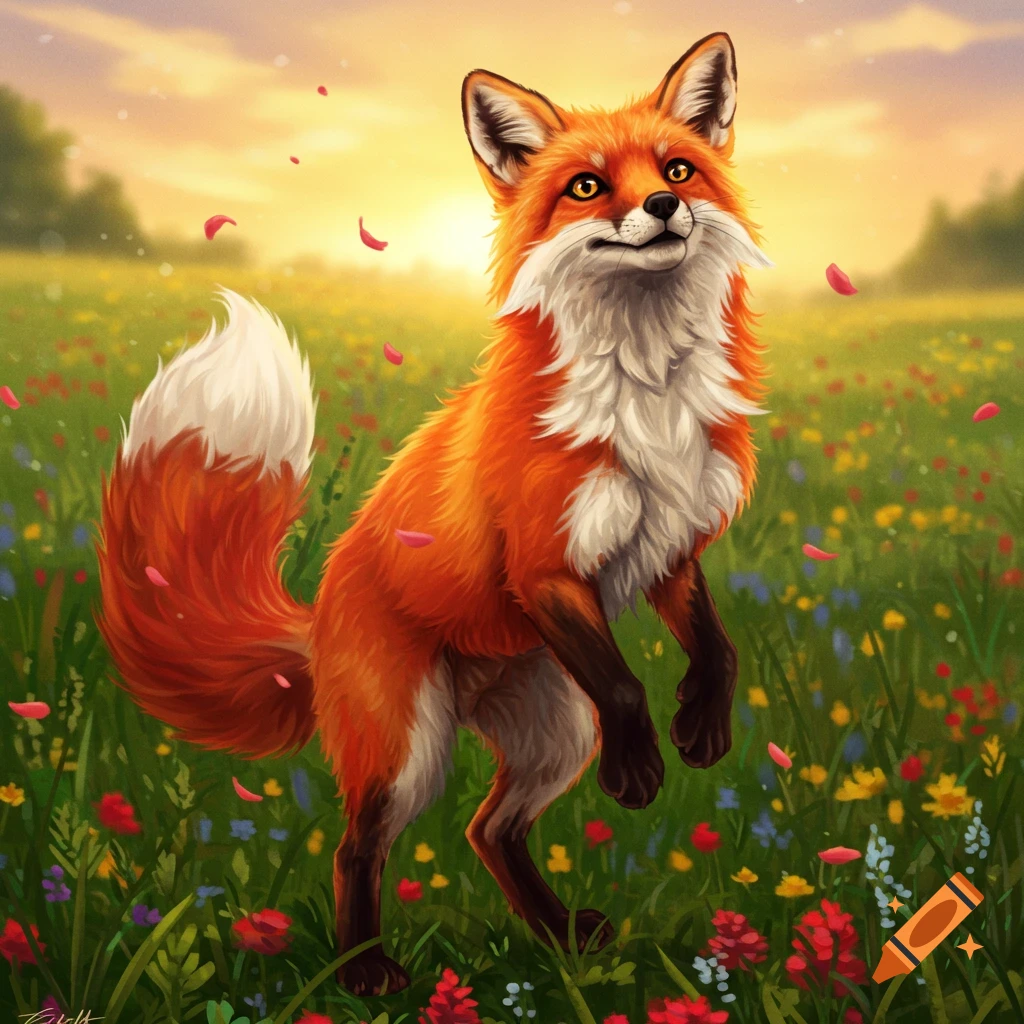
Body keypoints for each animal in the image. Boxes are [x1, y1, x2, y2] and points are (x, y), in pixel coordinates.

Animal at [97, 32, 770, 996]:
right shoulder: (544, 566)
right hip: (409, 753)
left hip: (553, 735)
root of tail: (315, 620)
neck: (645, 393)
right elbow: (626, 685)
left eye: (678, 168)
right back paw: (365, 974)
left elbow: (716, 645)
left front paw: (703, 726)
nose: (664, 206)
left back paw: (559, 937)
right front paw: (641, 766)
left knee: (487, 830)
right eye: (588, 186)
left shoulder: (671, 543)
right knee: (356, 848)